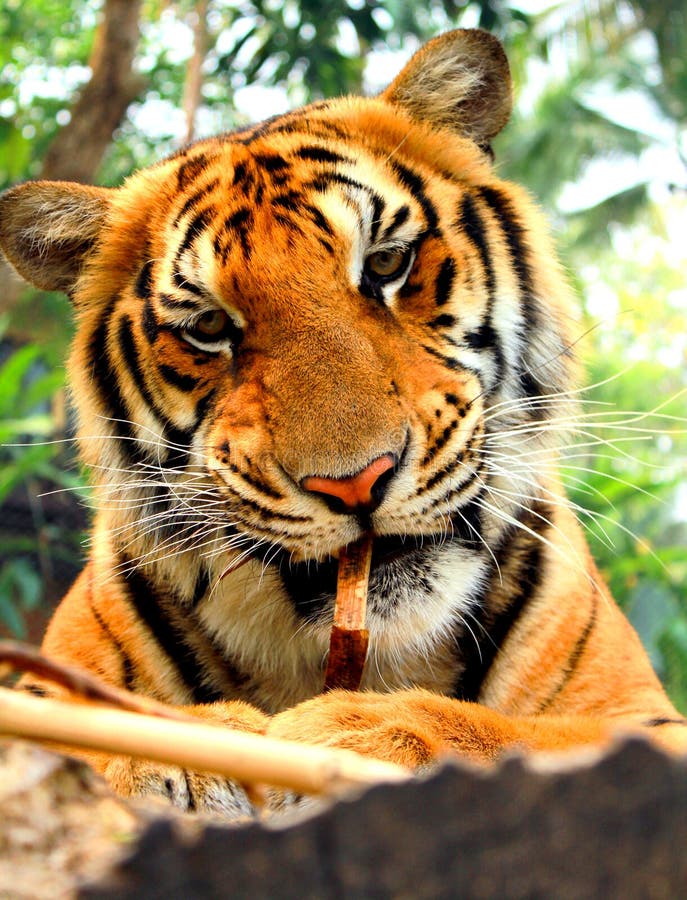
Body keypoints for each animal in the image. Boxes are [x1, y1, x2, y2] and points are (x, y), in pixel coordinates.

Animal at [0, 28, 685, 817]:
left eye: (387, 264)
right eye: (209, 327)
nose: (358, 483)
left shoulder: (644, 714)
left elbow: (526, 736)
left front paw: (352, 734)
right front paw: (185, 756)